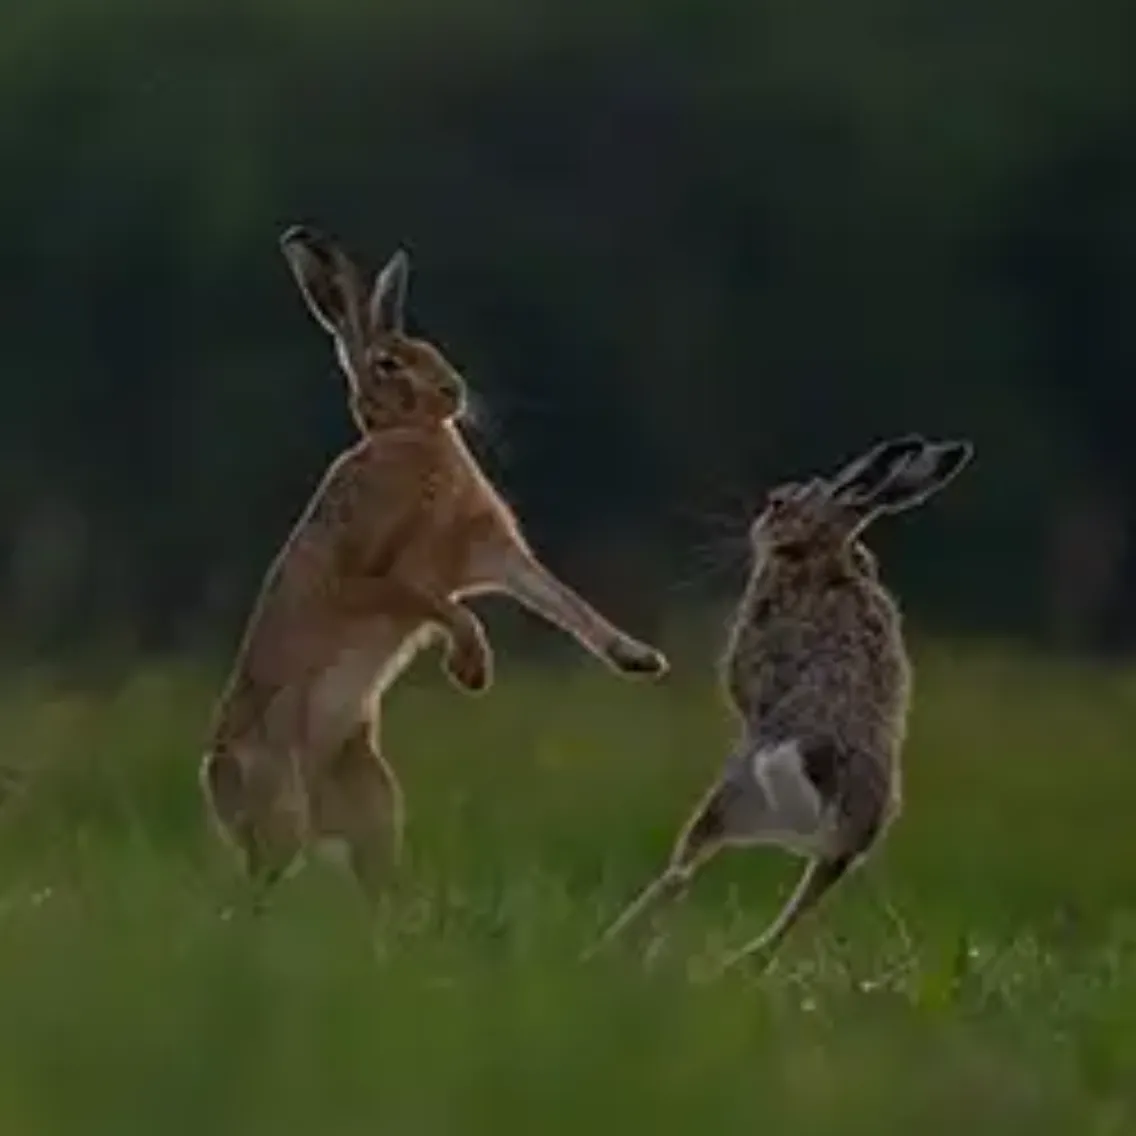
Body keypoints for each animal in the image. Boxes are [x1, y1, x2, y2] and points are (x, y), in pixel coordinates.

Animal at [201, 224, 668, 912]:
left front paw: (639, 659)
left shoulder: (492, 551)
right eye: (389, 364)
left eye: (429, 349)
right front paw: (471, 670)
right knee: (259, 885)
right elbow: (442, 606)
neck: (411, 438)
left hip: (373, 799)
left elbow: (560, 600)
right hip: (277, 802)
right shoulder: (374, 576)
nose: (454, 392)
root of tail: (213, 779)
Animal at [585, 433, 973, 973]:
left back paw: (613, 946)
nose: (760, 520)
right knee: (801, 903)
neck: (825, 550)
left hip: (734, 792)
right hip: (841, 851)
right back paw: (740, 962)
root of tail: (819, 812)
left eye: (779, 503)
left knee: (683, 868)